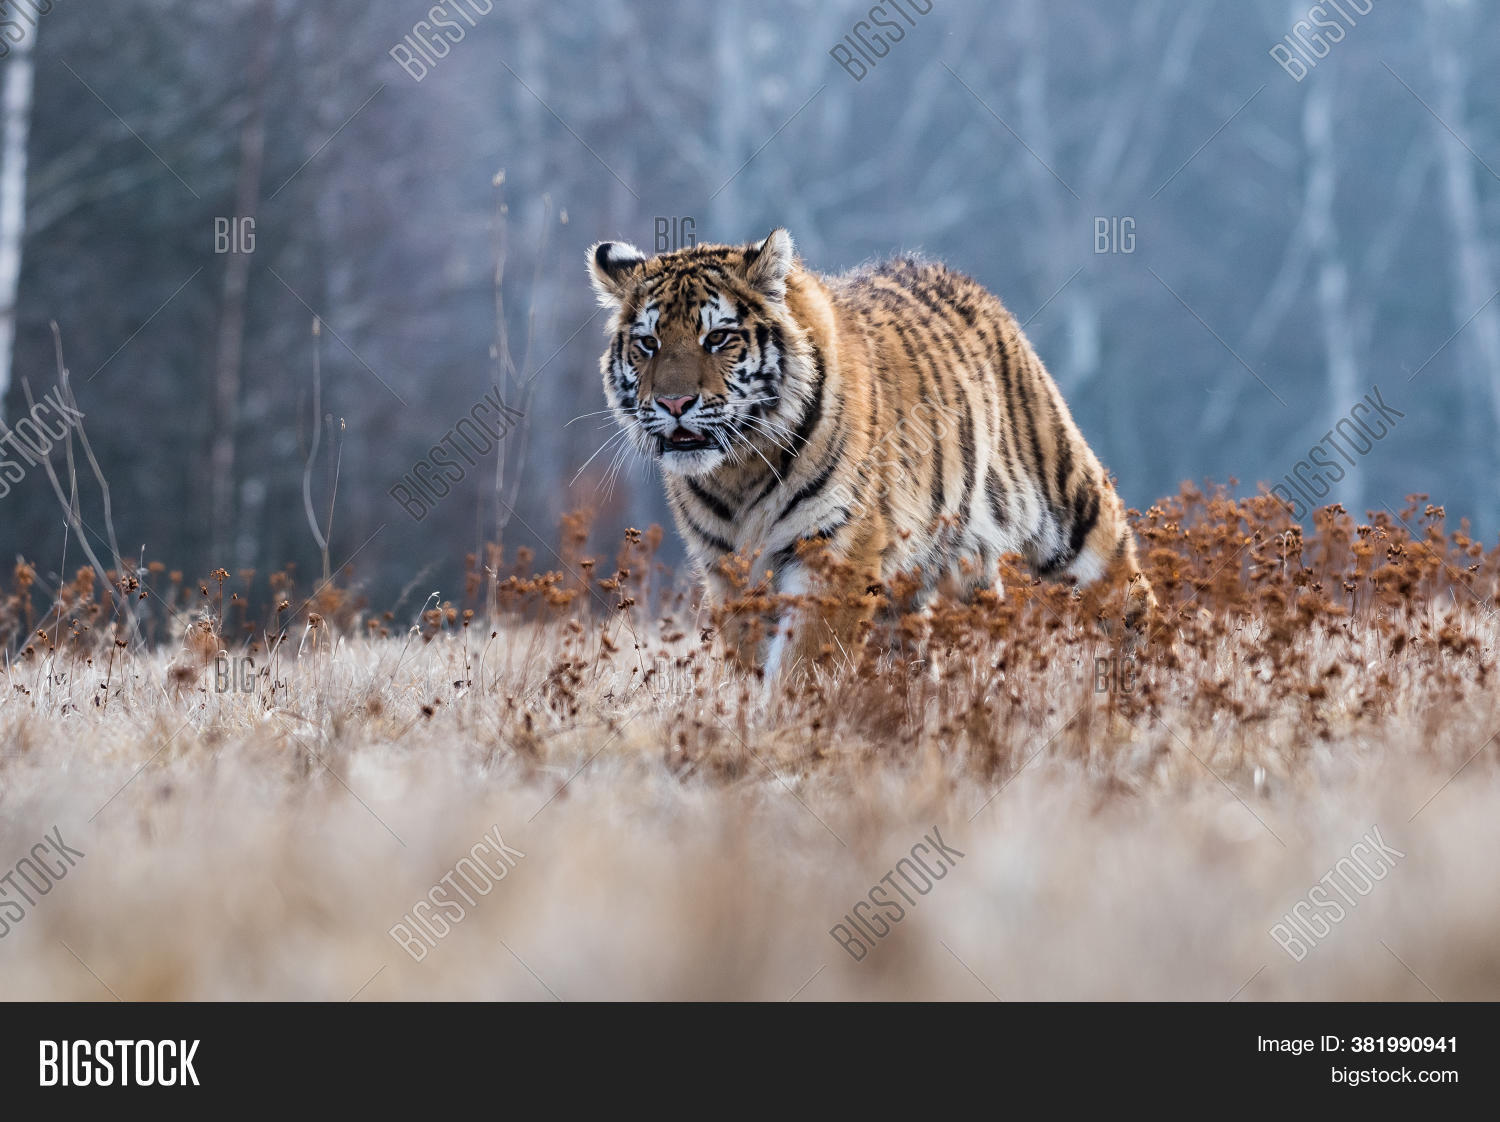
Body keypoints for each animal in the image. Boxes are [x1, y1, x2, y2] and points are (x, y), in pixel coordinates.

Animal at [586, 228, 1157, 678]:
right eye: (648, 343)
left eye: (718, 338)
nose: (674, 403)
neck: (737, 471)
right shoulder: (727, 570)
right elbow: (749, 660)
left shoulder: (833, 553)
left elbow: (799, 666)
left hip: (1069, 514)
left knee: (1129, 594)